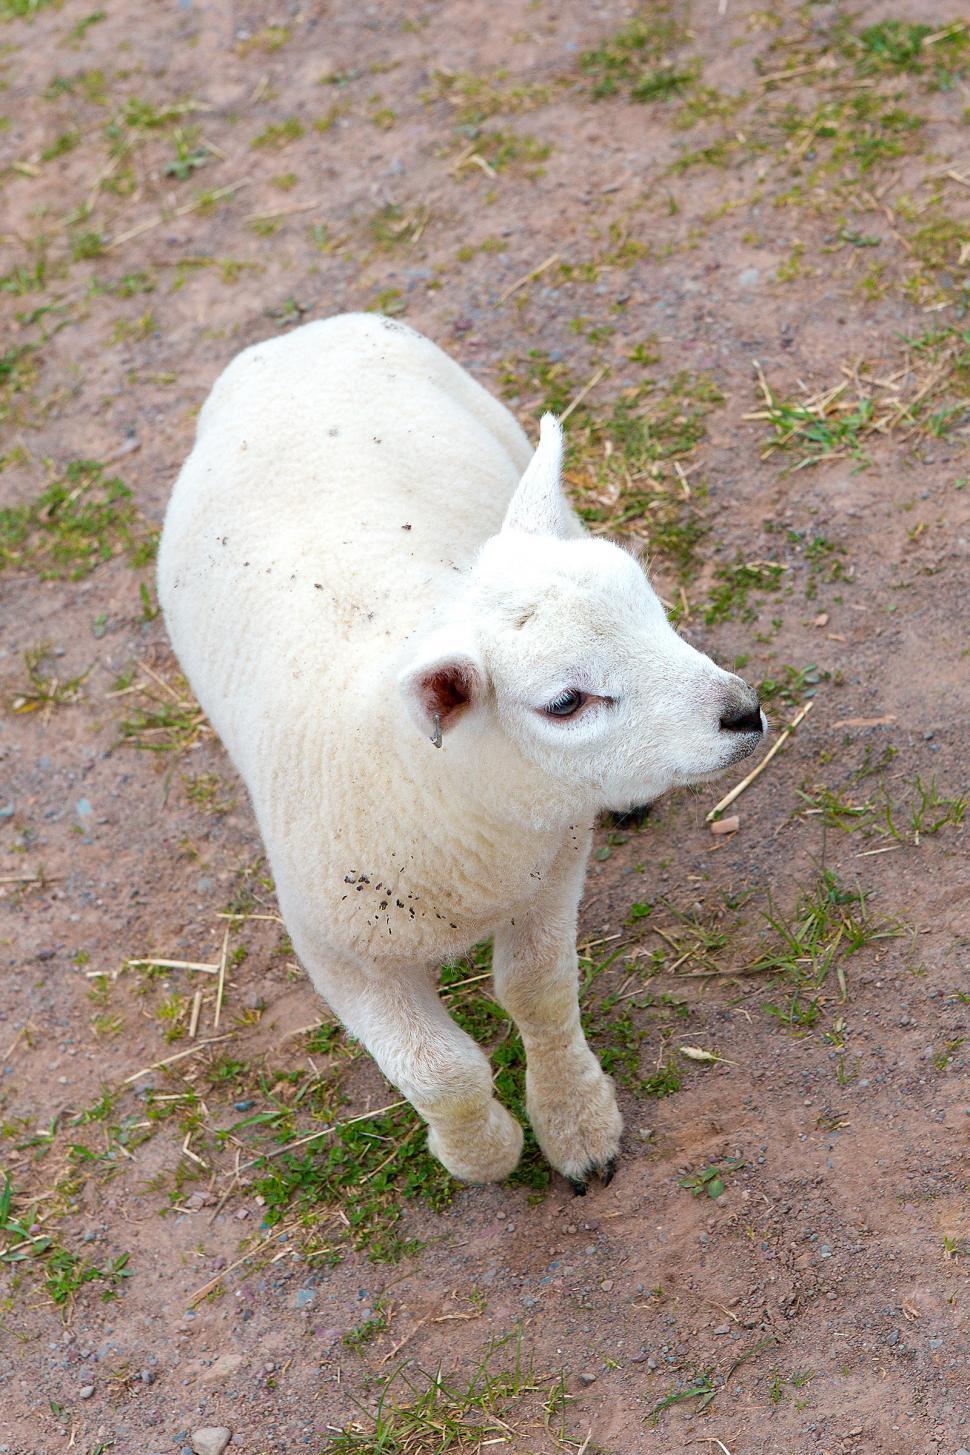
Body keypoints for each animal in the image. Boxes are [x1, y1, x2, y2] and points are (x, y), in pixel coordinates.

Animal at [157, 312, 764, 1193]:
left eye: (655, 610)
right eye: (565, 702)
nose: (744, 713)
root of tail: (304, 332)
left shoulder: (548, 875)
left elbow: (539, 995)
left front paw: (576, 1125)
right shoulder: (337, 949)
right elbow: (438, 1068)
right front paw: (482, 1152)